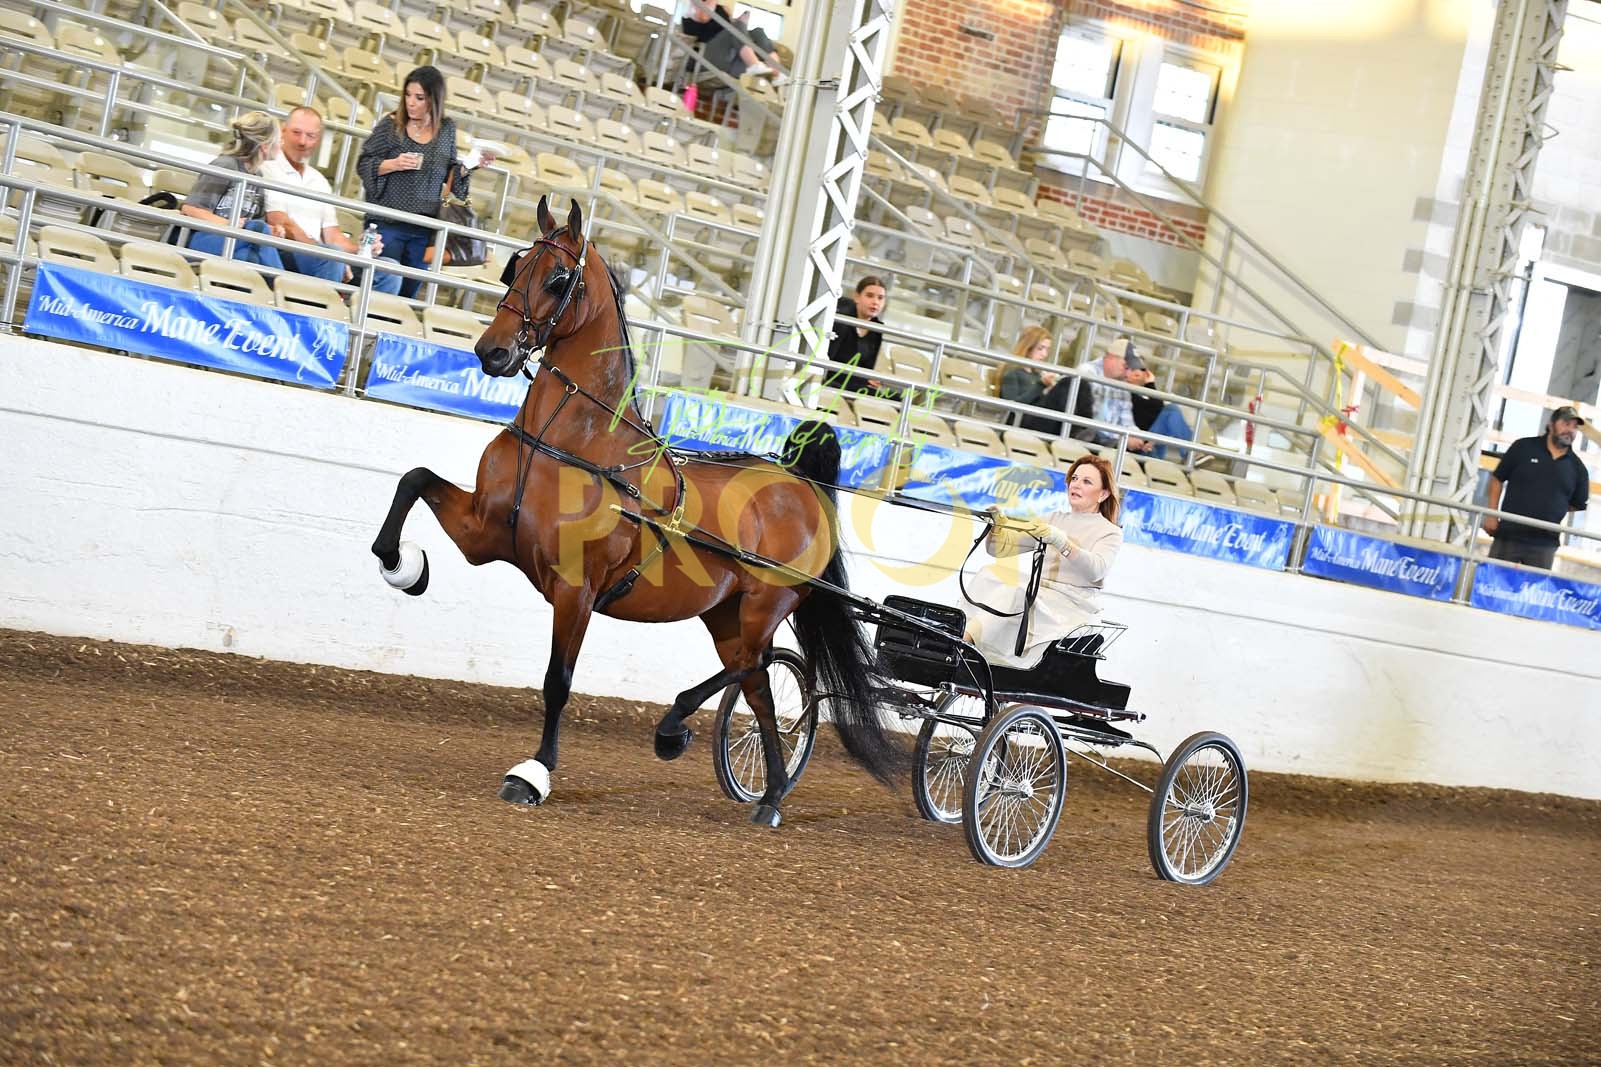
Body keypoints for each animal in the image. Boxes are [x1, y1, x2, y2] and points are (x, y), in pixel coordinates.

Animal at [369, 195, 903, 827]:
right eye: (513, 269)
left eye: (558, 278)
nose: (491, 352)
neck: (569, 443)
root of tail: (799, 485)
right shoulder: (483, 534)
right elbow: (414, 480)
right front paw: (403, 566)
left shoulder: (576, 587)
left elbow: (558, 680)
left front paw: (534, 773)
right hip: (724, 612)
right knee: (759, 685)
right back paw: (769, 794)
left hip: (765, 604)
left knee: (752, 664)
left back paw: (677, 730)